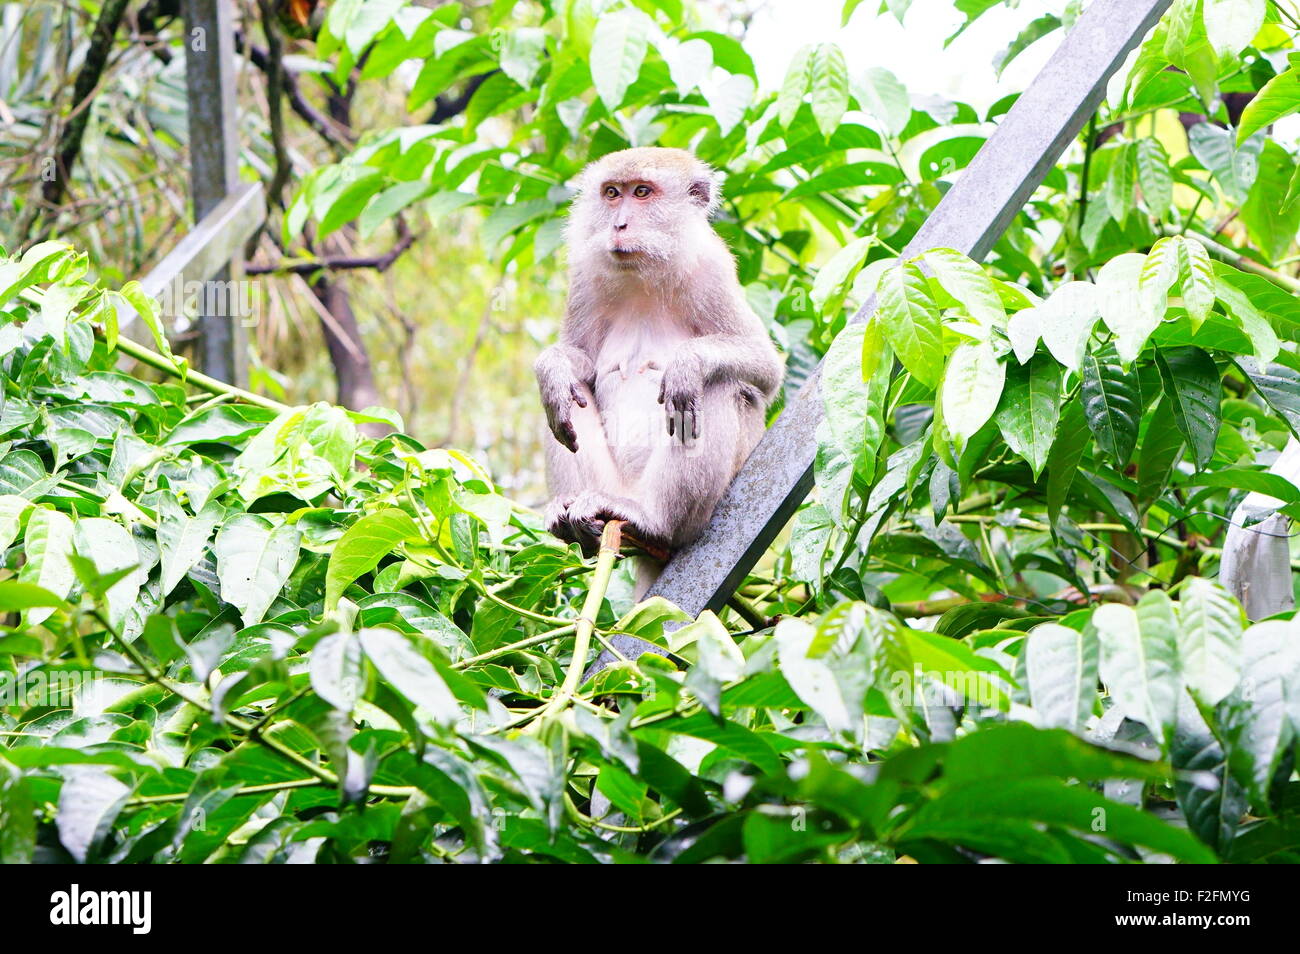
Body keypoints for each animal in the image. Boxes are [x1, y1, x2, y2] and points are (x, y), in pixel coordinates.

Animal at [534, 147, 783, 587]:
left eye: (642, 192)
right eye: (612, 193)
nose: (618, 224)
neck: (644, 272)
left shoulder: (713, 269)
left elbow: (765, 369)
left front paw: (688, 363)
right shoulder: (584, 275)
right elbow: (581, 364)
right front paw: (552, 368)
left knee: (717, 387)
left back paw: (654, 522)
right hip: (606, 483)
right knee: (564, 402)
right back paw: (573, 517)